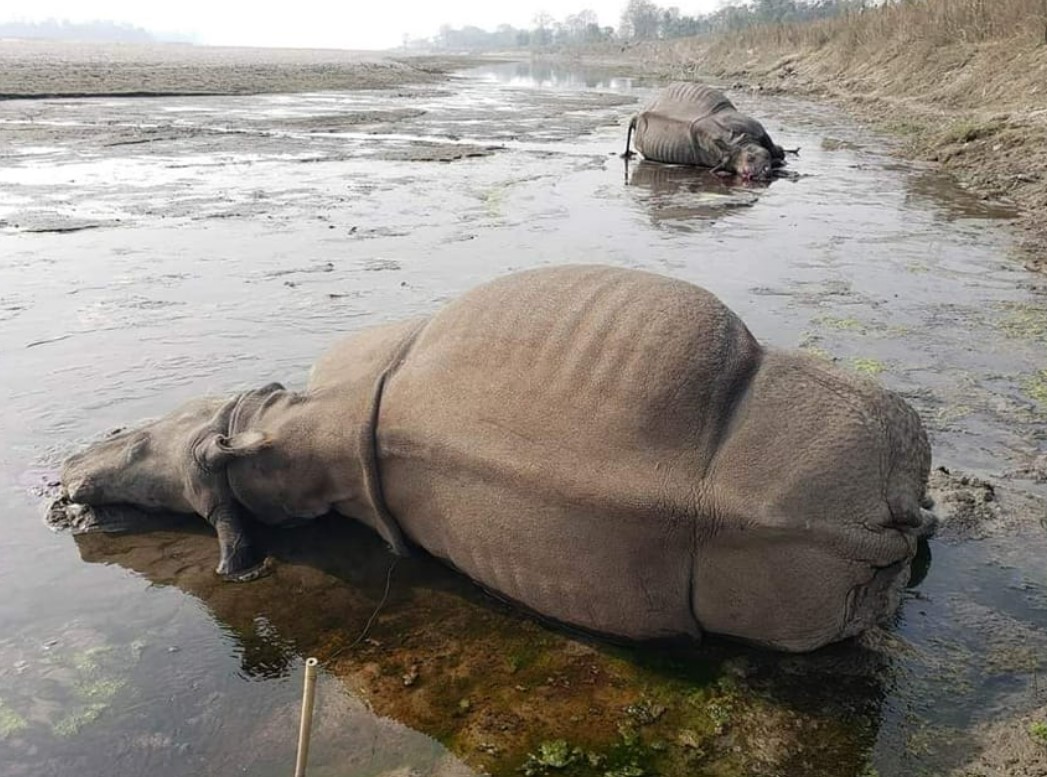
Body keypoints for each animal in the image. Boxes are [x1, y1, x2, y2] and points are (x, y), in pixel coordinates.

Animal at [624, 82, 787, 180]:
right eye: (750, 158)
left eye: (766, 158)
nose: (765, 171)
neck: (740, 142)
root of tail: (639, 113)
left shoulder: (757, 130)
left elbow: (777, 150)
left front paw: (778, 158)